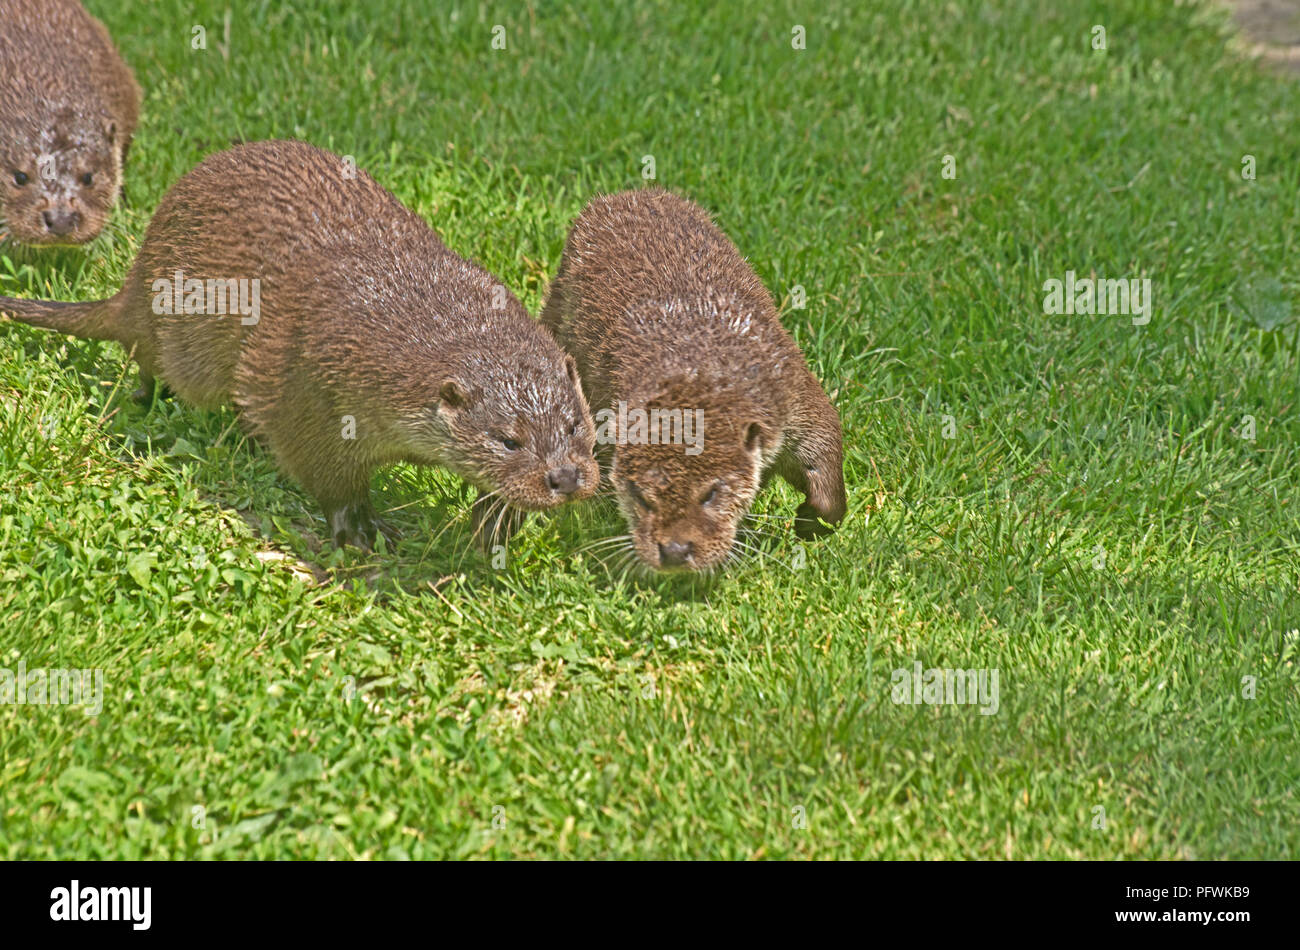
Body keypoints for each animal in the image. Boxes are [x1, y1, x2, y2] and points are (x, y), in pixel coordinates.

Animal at [2, 140, 599, 548]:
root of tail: (140, 269)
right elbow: (326, 475)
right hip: (178, 338)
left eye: (576, 426)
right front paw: (359, 526)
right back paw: (150, 397)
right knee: (150, 358)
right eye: (508, 441)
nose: (566, 477)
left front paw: (499, 518)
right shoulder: (309, 396)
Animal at [540, 187, 846, 572]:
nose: (674, 549)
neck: (698, 358)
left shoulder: (792, 390)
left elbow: (825, 447)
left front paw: (811, 521)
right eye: (641, 496)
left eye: (711, 493)